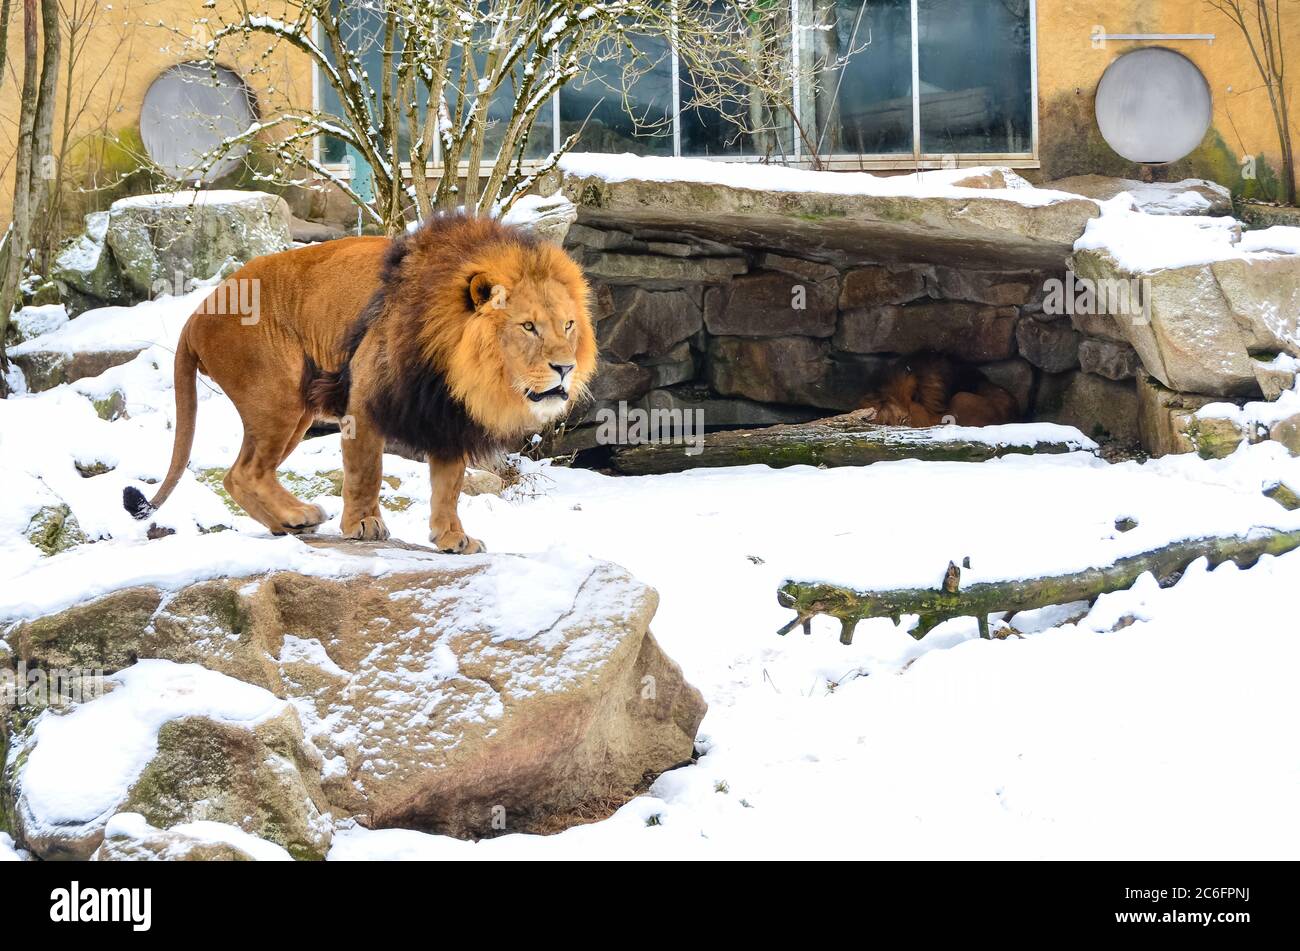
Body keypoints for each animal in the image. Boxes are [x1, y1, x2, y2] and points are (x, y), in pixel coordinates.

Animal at [123, 213, 596, 553]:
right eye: (528, 327)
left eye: (568, 325)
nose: (565, 368)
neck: (459, 368)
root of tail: (195, 315)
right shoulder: (365, 399)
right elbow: (366, 470)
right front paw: (365, 524)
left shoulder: (443, 415)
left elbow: (449, 487)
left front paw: (452, 538)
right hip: (279, 398)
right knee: (243, 474)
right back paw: (299, 516)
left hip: (296, 409)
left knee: (242, 475)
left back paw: (286, 524)